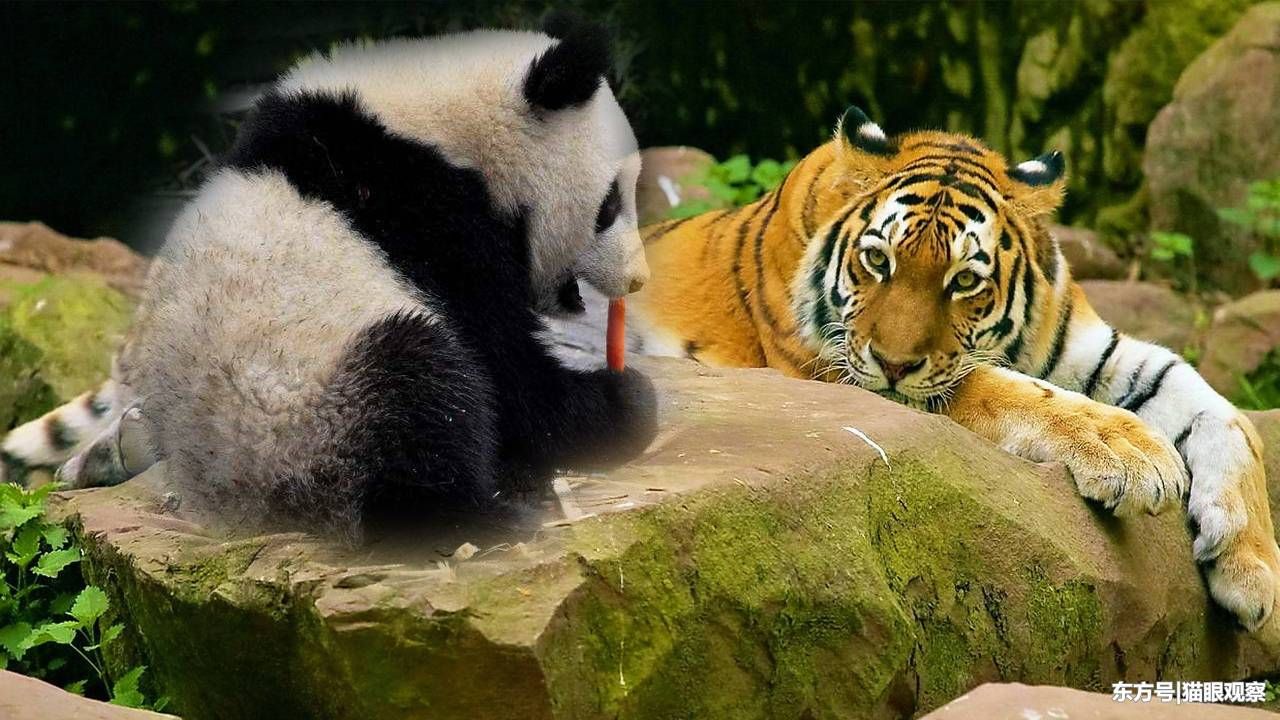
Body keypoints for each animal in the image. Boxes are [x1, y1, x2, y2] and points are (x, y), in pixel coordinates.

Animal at [633, 106, 1280, 632]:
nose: (892, 364)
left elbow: (1226, 414)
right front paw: (1133, 455)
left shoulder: (1095, 347)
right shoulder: (835, 369)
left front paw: (1254, 574)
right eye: (877, 260)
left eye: (965, 280)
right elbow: (1006, 388)